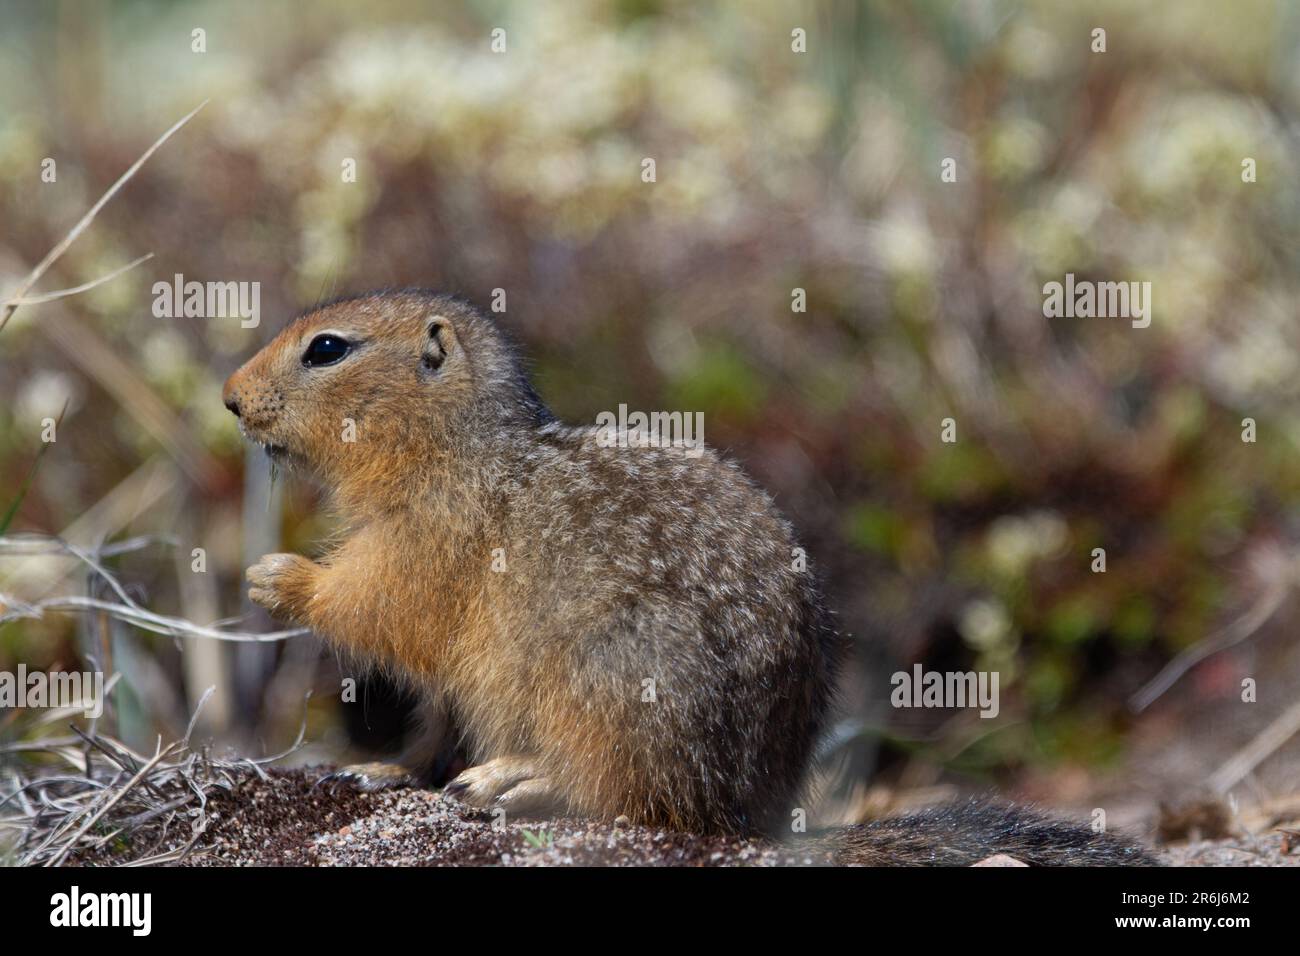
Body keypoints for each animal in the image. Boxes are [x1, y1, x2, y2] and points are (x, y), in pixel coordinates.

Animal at [222, 289, 1153, 865]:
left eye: (327, 348)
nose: (228, 398)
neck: (456, 447)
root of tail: (759, 817)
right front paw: (378, 765)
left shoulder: (427, 532)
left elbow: (380, 599)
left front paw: (277, 575)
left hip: (619, 668)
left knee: (637, 802)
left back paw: (517, 780)